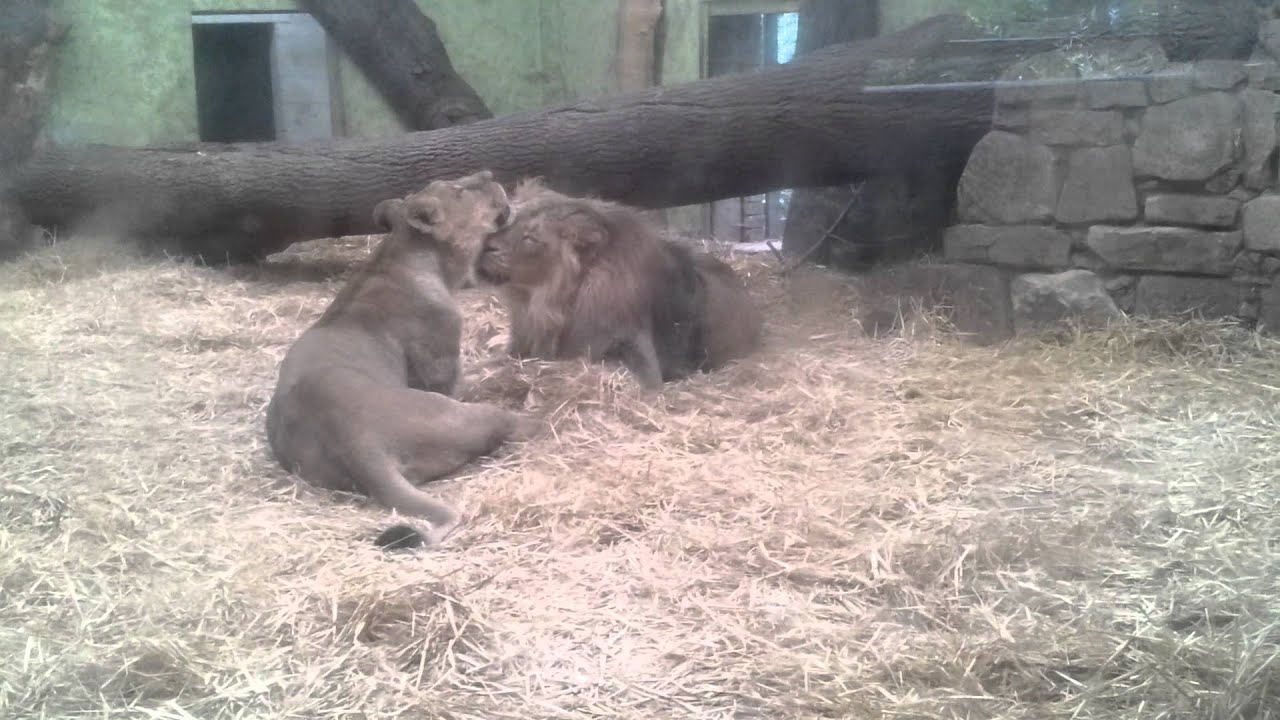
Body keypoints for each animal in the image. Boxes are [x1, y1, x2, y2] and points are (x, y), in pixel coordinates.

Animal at [265, 170, 533, 546]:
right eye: (459, 189)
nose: (489, 175)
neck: (405, 254)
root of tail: (357, 443)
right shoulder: (443, 366)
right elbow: (477, 371)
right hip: (456, 412)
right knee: (509, 424)